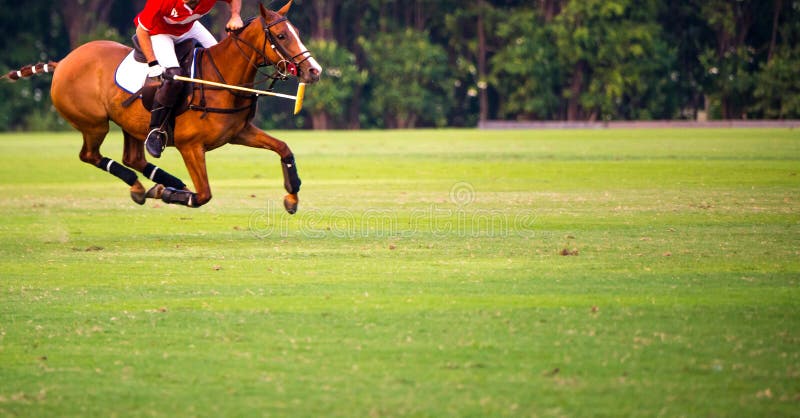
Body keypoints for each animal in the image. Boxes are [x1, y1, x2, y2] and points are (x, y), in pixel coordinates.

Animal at [3, 1, 321, 213]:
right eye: (281, 36)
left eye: (296, 31)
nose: (314, 71)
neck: (223, 79)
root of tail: (63, 63)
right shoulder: (190, 146)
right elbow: (203, 195)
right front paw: (166, 194)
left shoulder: (239, 132)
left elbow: (283, 148)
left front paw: (292, 197)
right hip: (94, 123)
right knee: (90, 155)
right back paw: (148, 185)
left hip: (130, 123)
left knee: (132, 157)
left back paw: (162, 182)